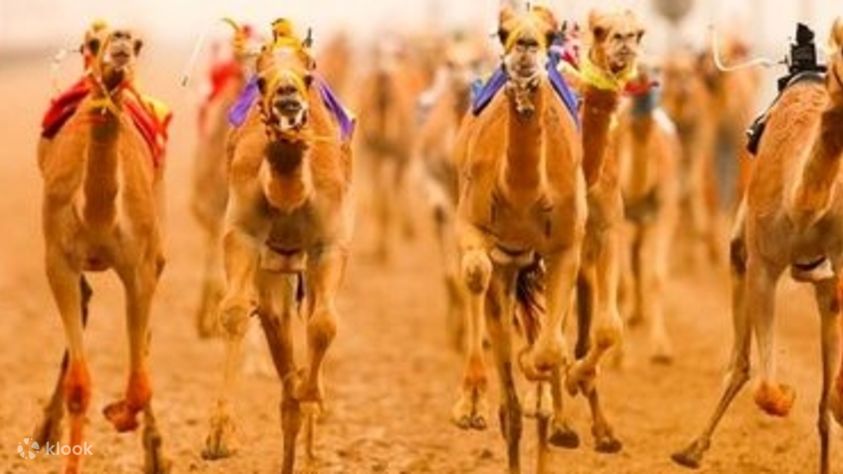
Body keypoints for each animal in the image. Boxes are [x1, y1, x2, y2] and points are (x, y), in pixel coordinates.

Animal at [34, 22, 169, 474]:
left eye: (139, 43)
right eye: (92, 42)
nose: (121, 40)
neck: (97, 215)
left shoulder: (140, 266)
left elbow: (141, 381)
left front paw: (122, 415)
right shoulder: (58, 261)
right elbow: (80, 385)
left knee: (144, 340)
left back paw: (155, 451)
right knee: (87, 297)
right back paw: (45, 431)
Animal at [201, 20, 354, 474]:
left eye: (309, 72)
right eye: (260, 79)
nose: (287, 96)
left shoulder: (329, 243)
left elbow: (324, 324)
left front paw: (315, 392)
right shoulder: (242, 232)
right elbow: (234, 312)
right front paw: (219, 436)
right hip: (275, 271)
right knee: (275, 327)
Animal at [449, 5, 587, 472]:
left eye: (550, 32)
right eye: (502, 29)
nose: (526, 46)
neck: (524, 193)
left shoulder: (566, 245)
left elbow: (549, 350)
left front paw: (541, 387)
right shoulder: (472, 224)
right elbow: (474, 272)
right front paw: (469, 405)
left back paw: (551, 411)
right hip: (509, 266)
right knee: (508, 410)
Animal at [673, 19, 843, 474]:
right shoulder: (764, 262)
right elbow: (765, 387)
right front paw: (787, 395)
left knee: (823, 406)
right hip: (745, 249)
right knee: (740, 364)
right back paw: (691, 449)